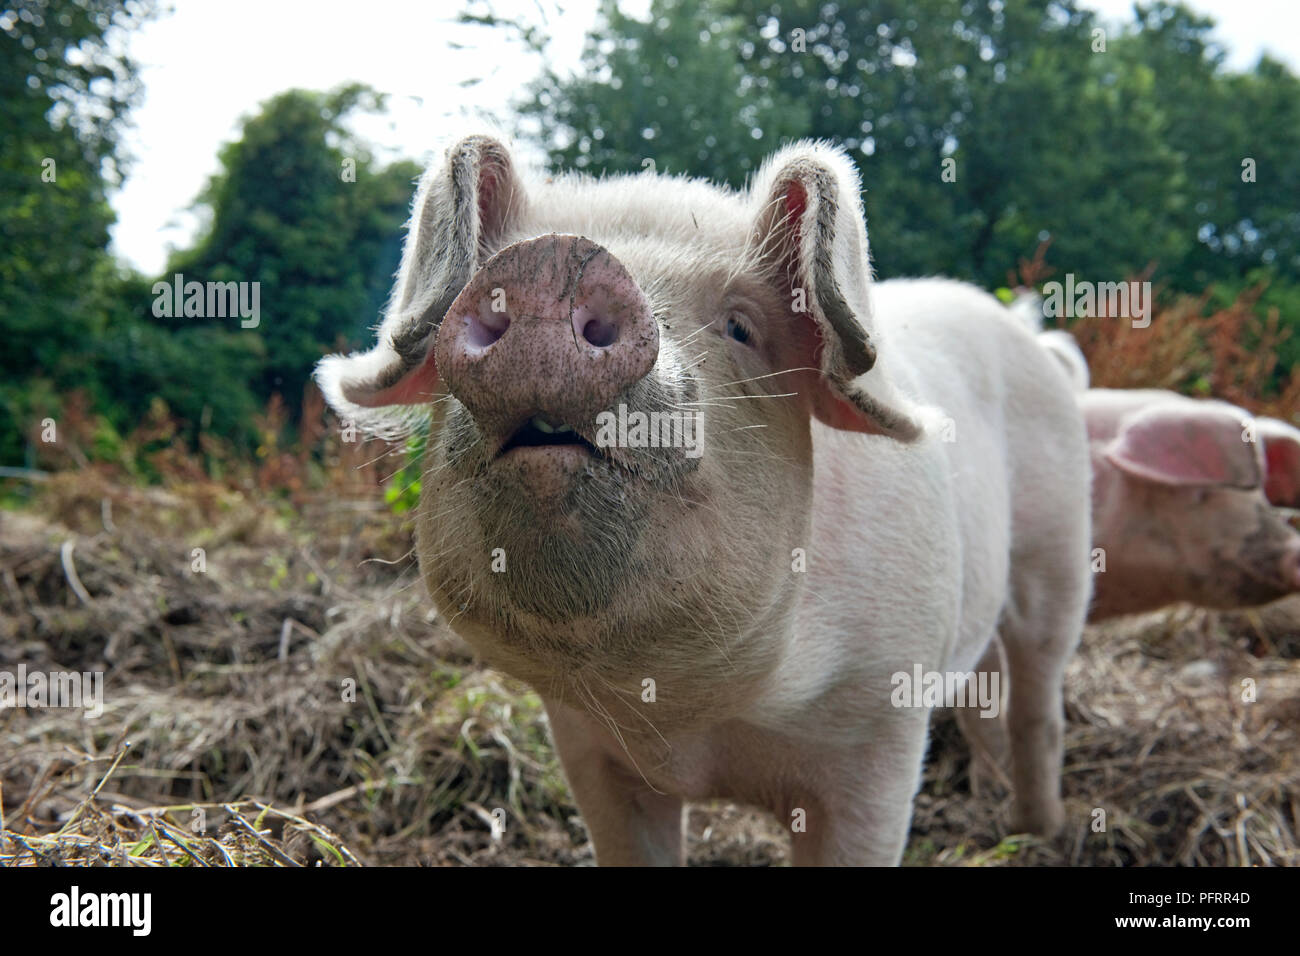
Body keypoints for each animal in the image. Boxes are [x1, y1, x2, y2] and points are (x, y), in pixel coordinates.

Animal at [316, 131, 1093, 865]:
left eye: (741, 326)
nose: (555, 261)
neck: (694, 725)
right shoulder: (587, 750)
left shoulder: (881, 733)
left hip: (1058, 555)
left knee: (1038, 696)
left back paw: (1037, 829)